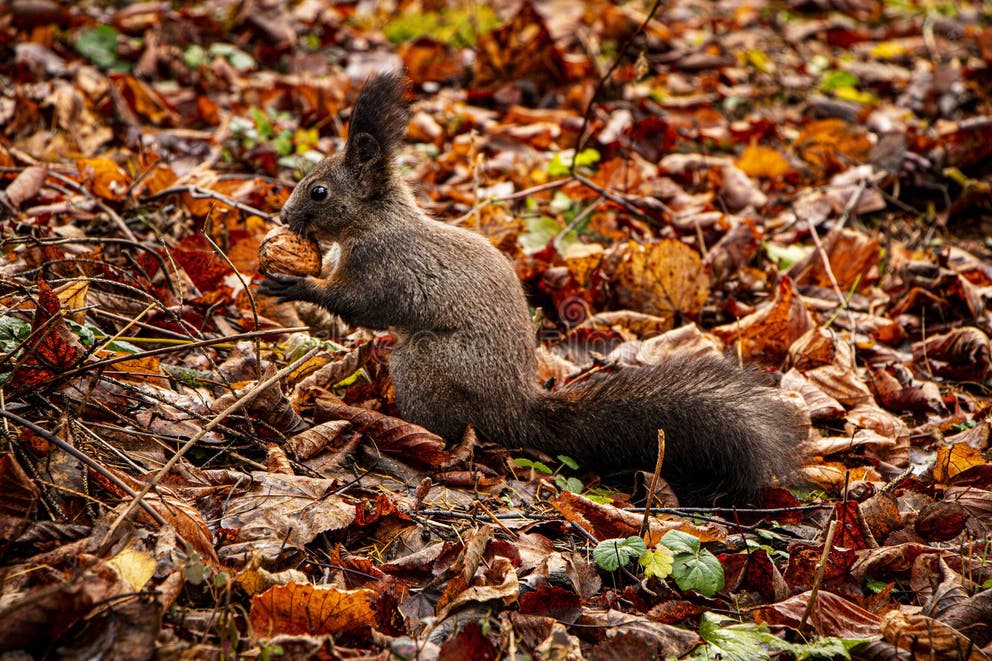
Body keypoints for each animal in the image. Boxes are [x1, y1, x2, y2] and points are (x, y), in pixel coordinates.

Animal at [259, 72, 805, 506]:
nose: (283, 217)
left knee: (447, 426)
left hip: (426, 365)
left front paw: (296, 284)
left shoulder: (383, 267)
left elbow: (360, 305)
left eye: (319, 192)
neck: (374, 221)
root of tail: (517, 410)